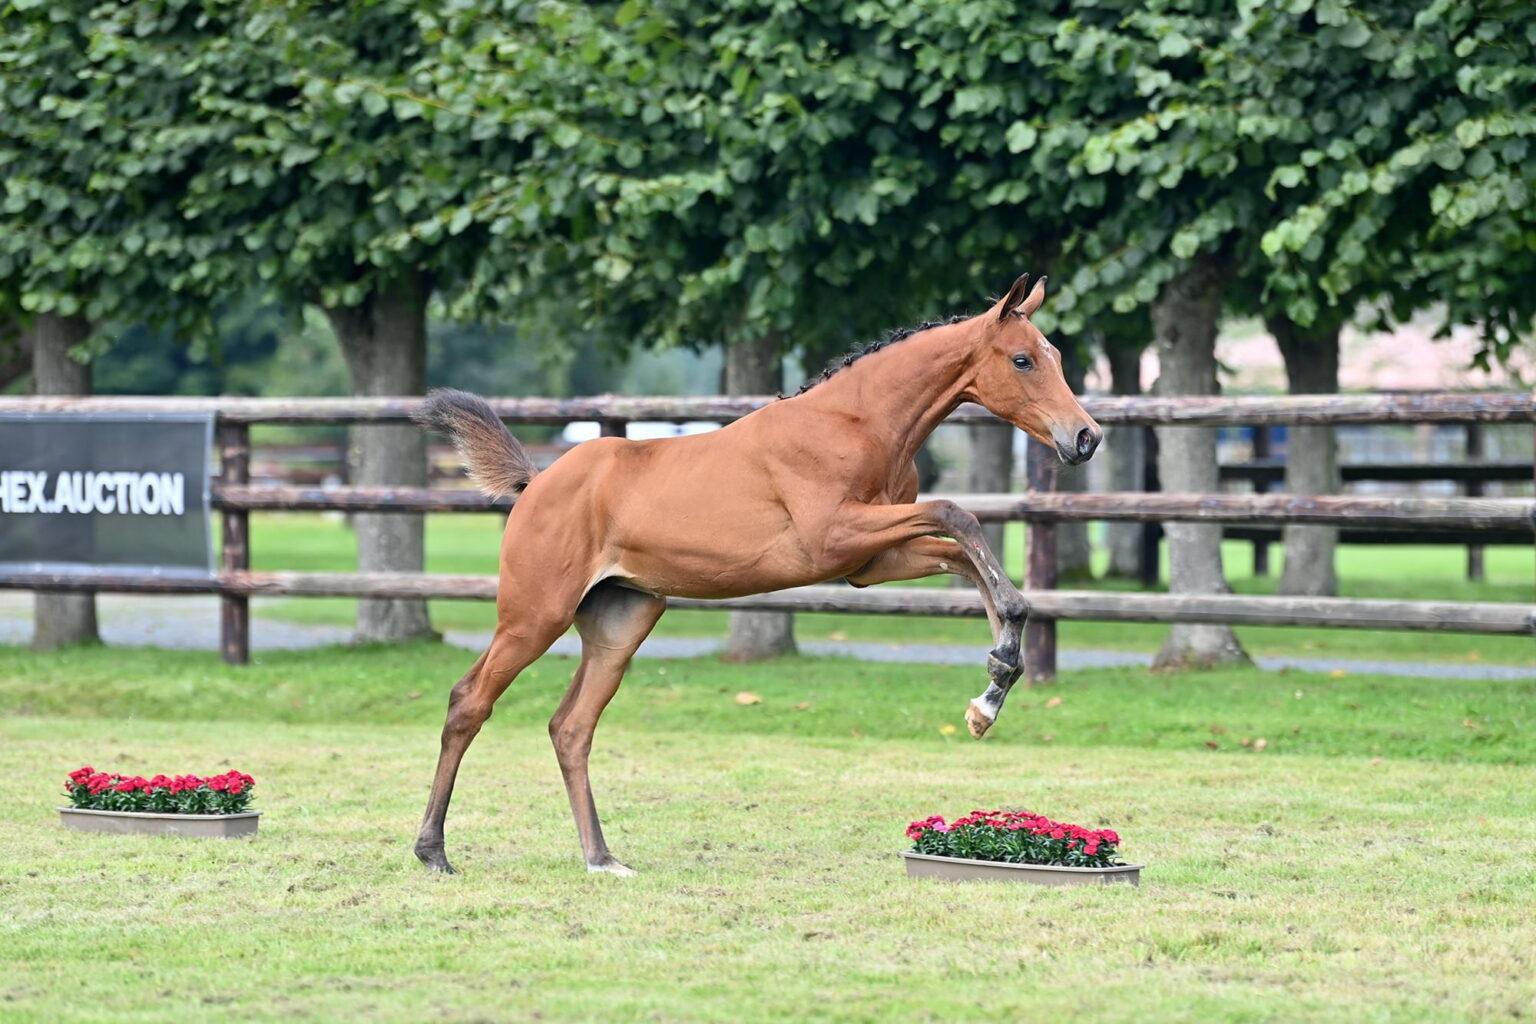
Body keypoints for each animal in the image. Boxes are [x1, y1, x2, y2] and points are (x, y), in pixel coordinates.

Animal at [411, 273, 1101, 875]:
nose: (1085, 437)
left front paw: (992, 692)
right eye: (1023, 360)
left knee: (572, 728)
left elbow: (966, 552)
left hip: (621, 623)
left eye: (1055, 355)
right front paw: (991, 690)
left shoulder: (869, 562)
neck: (855, 424)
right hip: (534, 616)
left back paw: (601, 859)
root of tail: (535, 485)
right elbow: (957, 514)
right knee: (470, 702)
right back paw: (433, 852)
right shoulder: (836, 536)